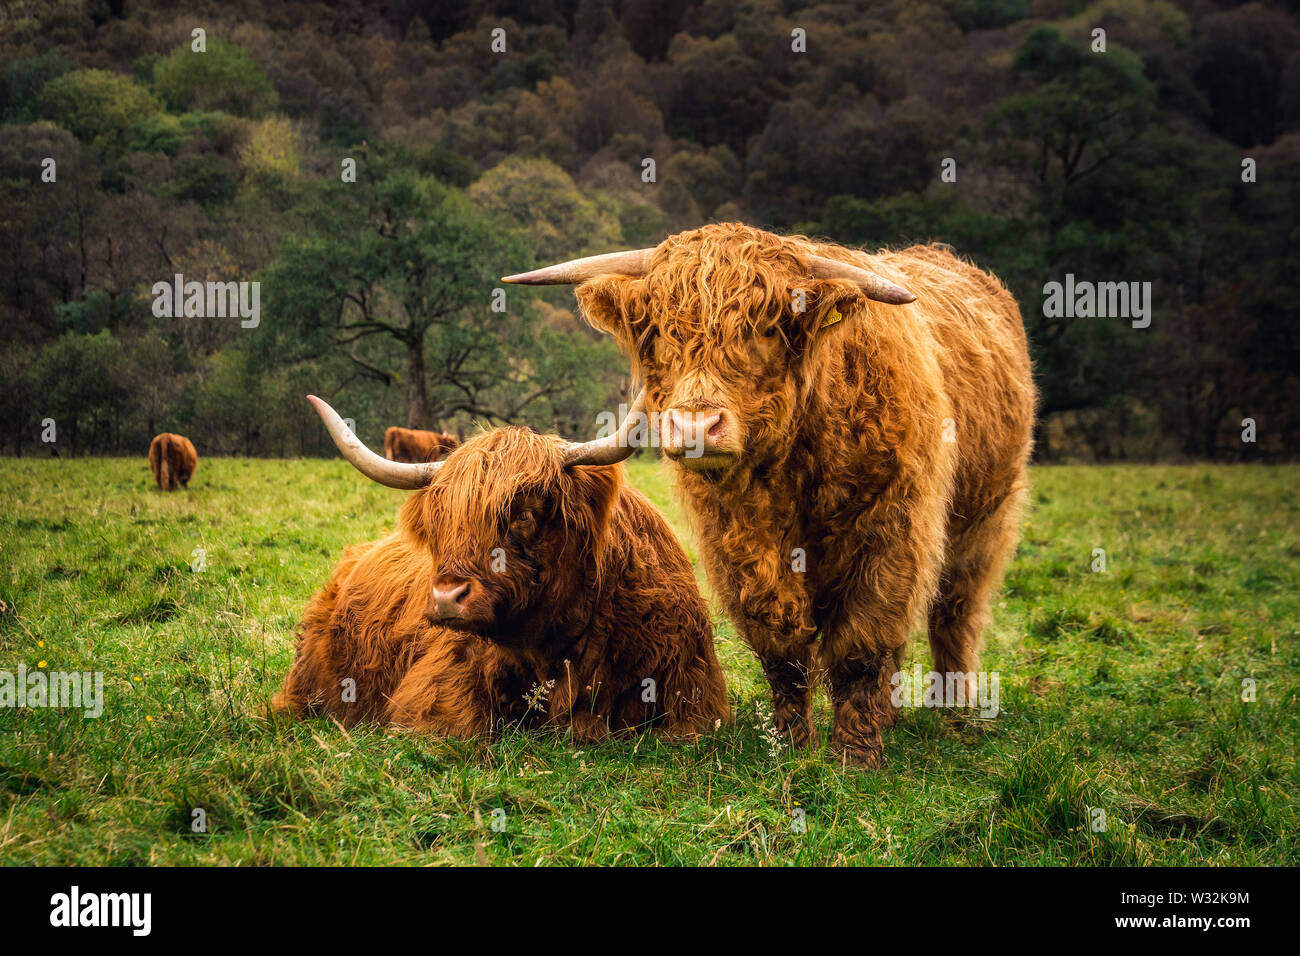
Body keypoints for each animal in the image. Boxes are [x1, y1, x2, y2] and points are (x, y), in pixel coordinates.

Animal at [503, 223, 1037, 767]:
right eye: (659, 331)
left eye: (764, 327)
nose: (694, 425)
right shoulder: (732, 547)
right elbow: (781, 649)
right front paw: (793, 746)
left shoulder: (891, 535)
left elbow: (861, 645)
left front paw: (856, 756)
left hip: (985, 520)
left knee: (954, 611)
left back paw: (956, 713)